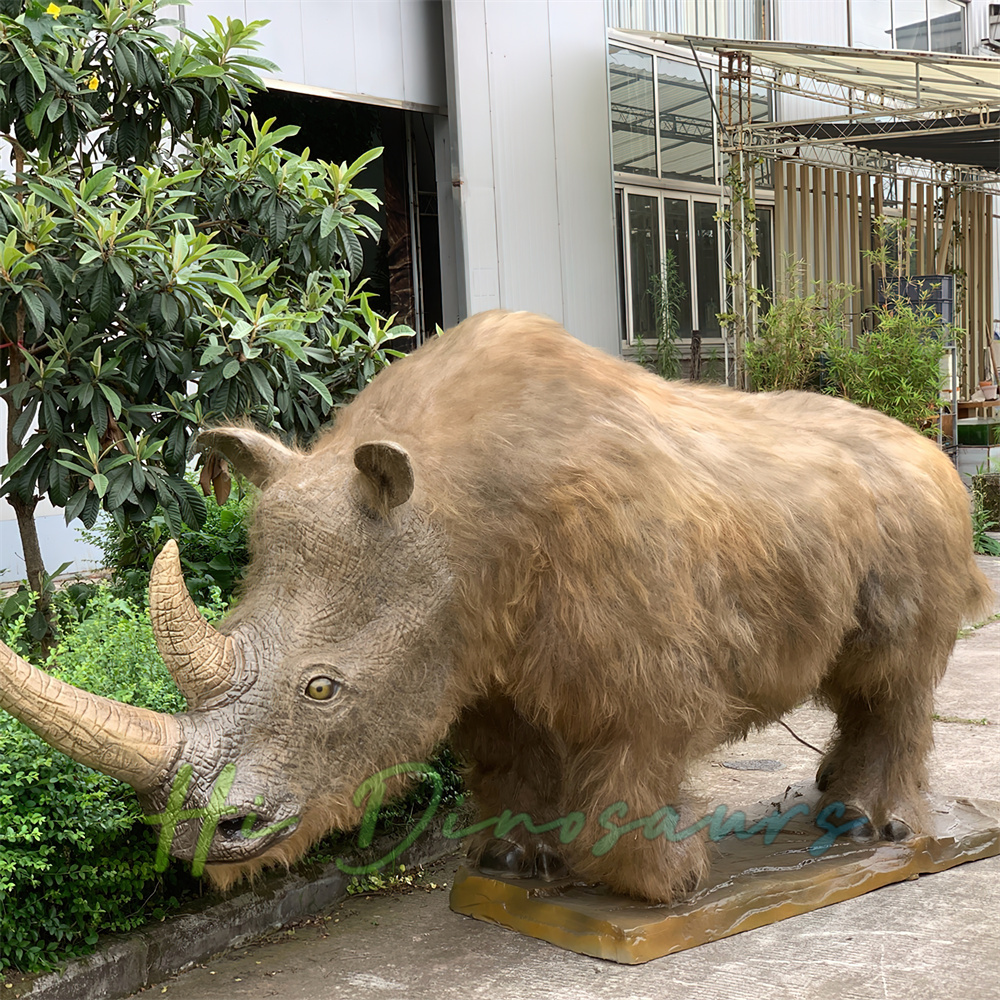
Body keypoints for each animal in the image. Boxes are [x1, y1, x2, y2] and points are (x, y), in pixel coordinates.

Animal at [0, 310, 992, 902]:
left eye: (322, 688)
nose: (201, 834)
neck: (451, 516)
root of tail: (932, 446)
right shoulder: (463, 655)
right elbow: (507, 756)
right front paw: (514, 864)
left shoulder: (645, 669)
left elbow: (633, 758)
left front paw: (660, 888)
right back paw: (834, 806)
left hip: (917, 513)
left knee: (896, 677)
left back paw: (872, 831)